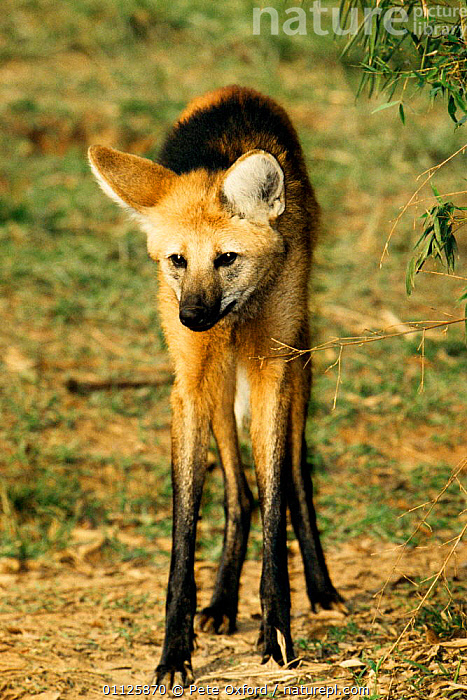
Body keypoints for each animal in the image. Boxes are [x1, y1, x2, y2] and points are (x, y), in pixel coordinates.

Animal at [88, 85, 342, 687]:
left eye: (227, 258)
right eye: (177, 260)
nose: (193, 317)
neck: (236, 313)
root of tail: (236, 91)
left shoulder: (272, 369)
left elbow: (277, 507)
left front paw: (277, 637)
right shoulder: (190, 383)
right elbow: (186, 531)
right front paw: (174, 653)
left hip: (296, 363)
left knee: (294, 478)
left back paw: (322, 589)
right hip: (221, 385)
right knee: (239, 493)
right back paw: (223, 602)